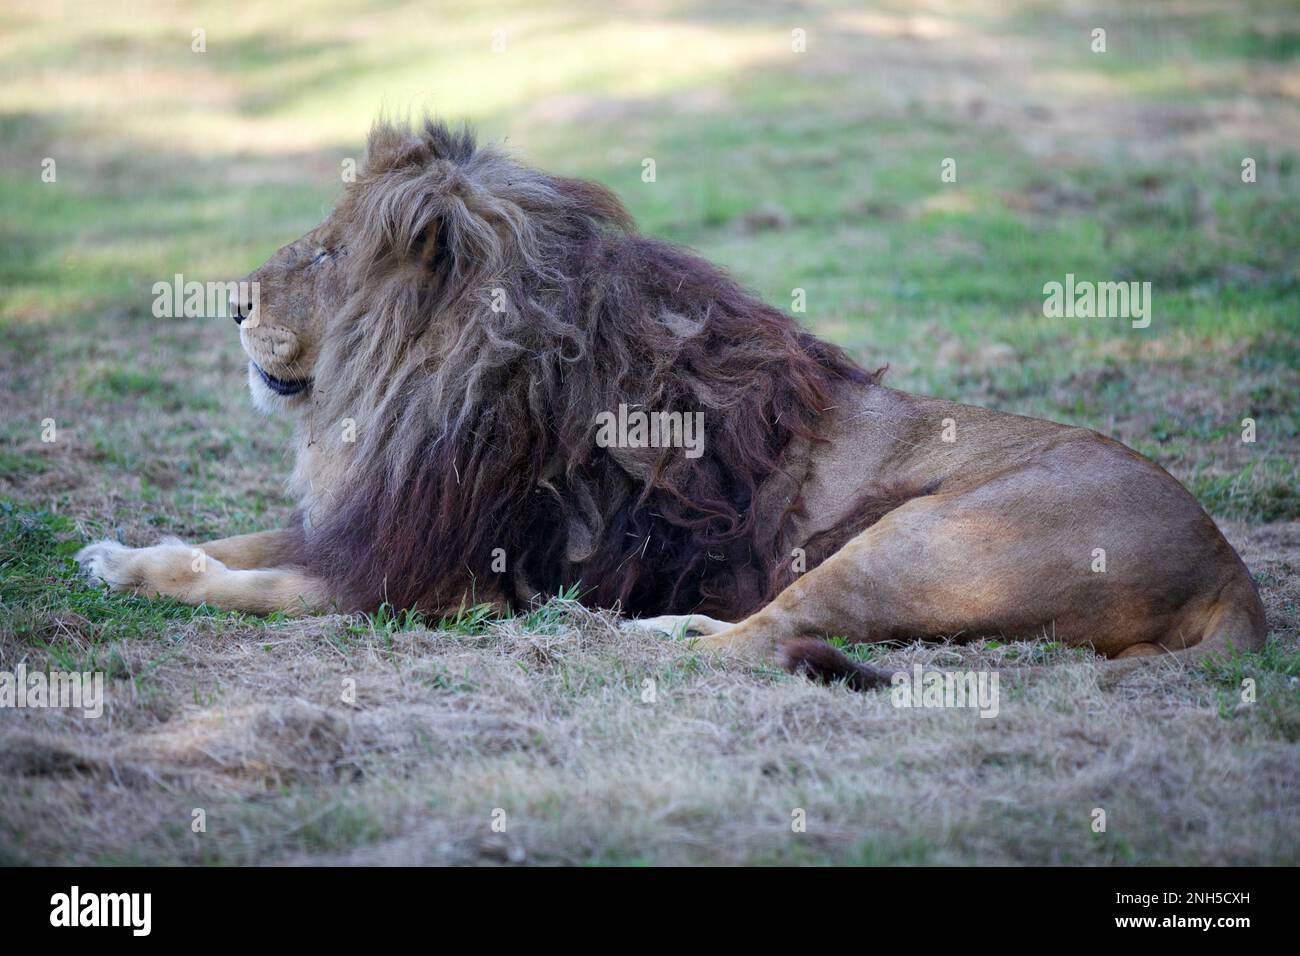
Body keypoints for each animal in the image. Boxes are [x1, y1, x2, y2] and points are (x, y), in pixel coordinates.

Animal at [77, 118, 1267, 688]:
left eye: (323, 255)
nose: (231, 303)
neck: (428, 389)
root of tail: (1229, 568)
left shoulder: (434, 580)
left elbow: (239, 578)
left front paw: (141, 570)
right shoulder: (374, 522)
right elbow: (234, 539)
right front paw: (116, 549)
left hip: (925, 539)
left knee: (767, 636)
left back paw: (623, 638)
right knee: (771, 622)